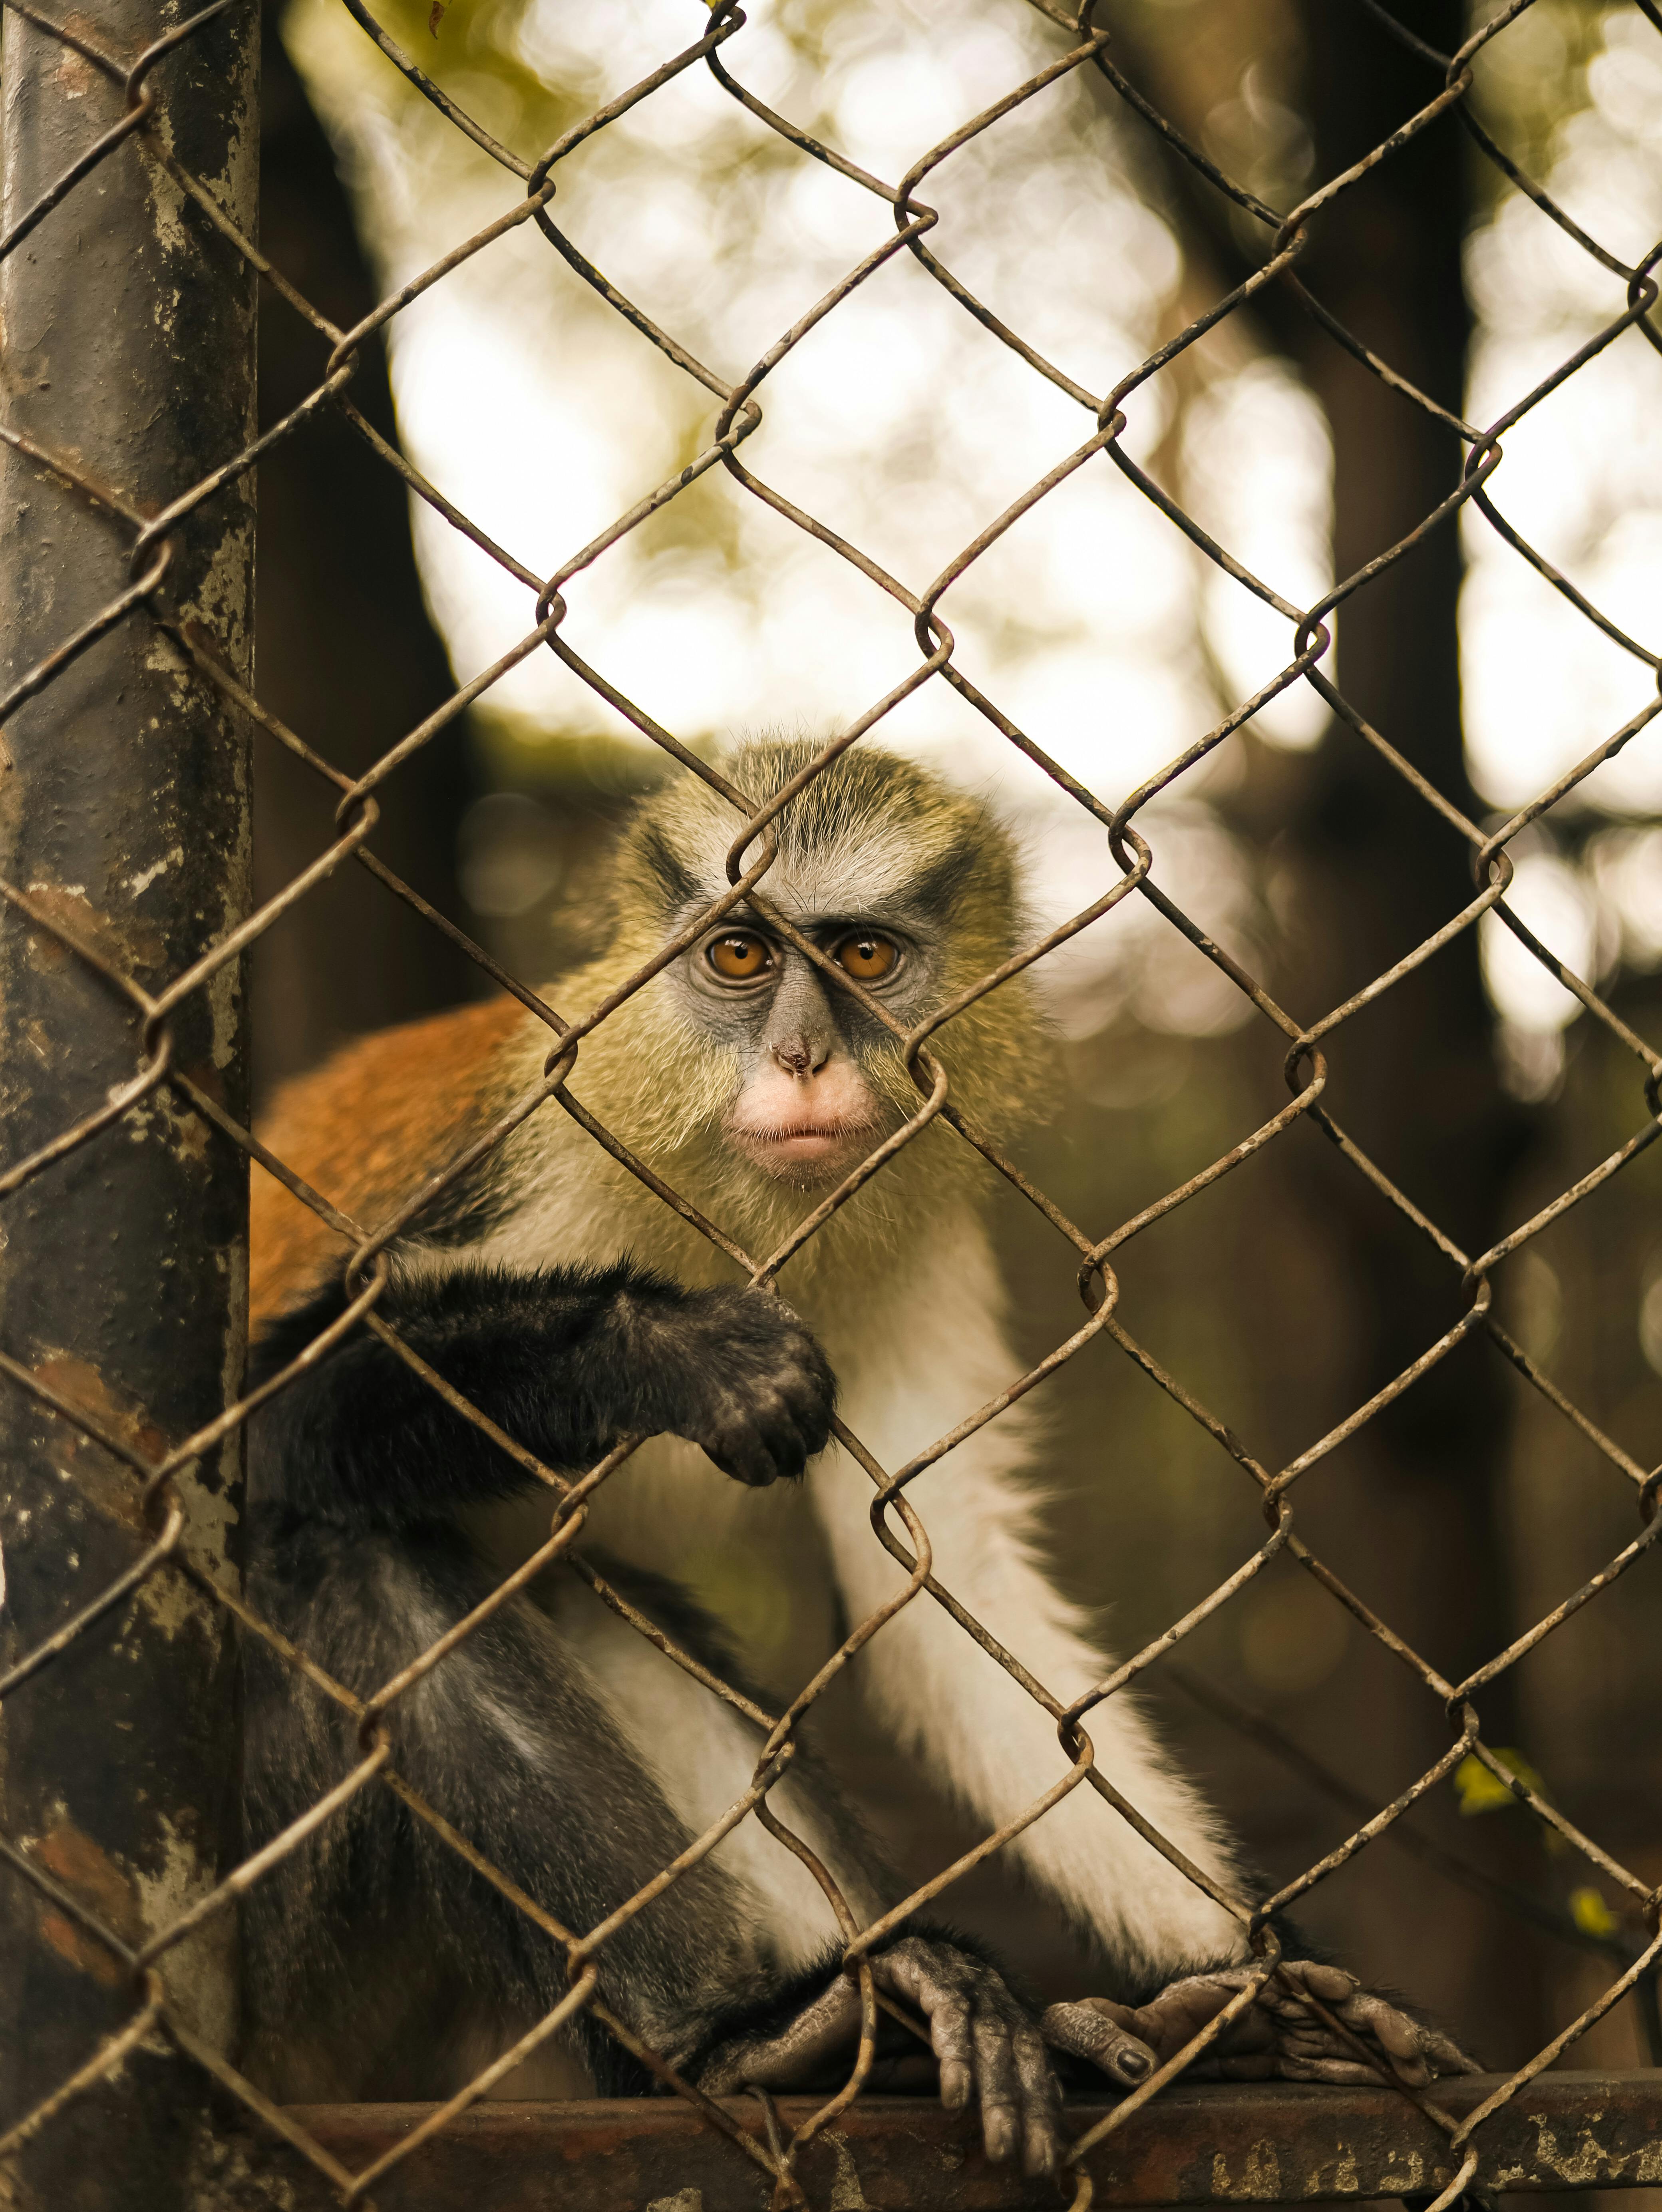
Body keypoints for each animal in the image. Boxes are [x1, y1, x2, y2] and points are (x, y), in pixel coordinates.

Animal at [242, 739, 1475, 2171]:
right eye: (739, 954)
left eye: (866, 958)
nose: (802, 1057)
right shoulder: (522, 1160)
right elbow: (258, 1419)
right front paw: (662, 1353)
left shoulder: (918, 1231)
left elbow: (949, 1585)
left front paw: (1249, 1982)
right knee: (340, 1548)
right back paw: (731, 2041)